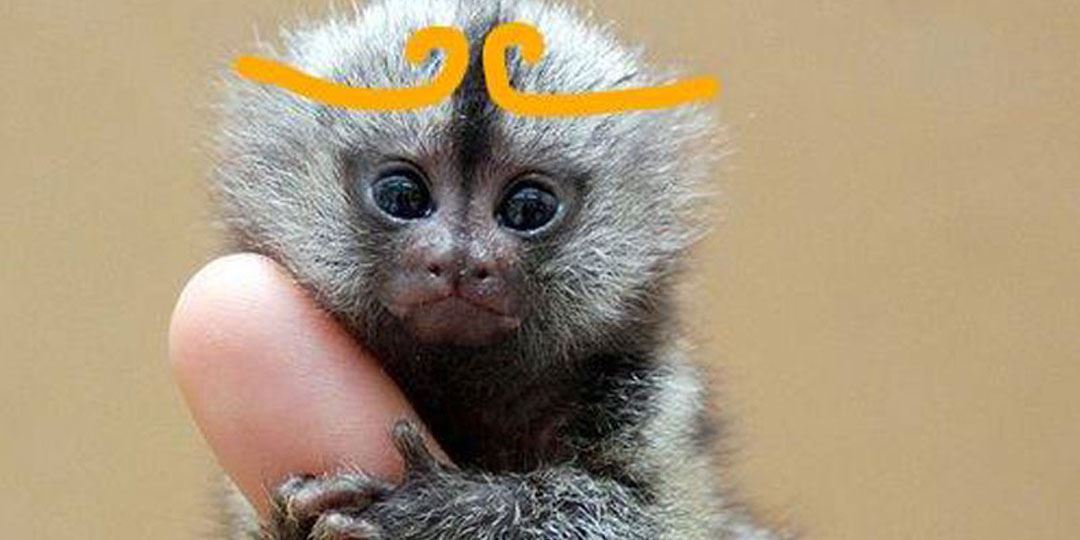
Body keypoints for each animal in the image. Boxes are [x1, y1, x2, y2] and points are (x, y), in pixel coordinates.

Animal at [211, 0, 780, 538]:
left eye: (527, 207)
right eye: (402, 196)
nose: (459, 260)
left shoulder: (648, 401)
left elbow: (642, 517)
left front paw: (441, 509)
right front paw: (293, 524)